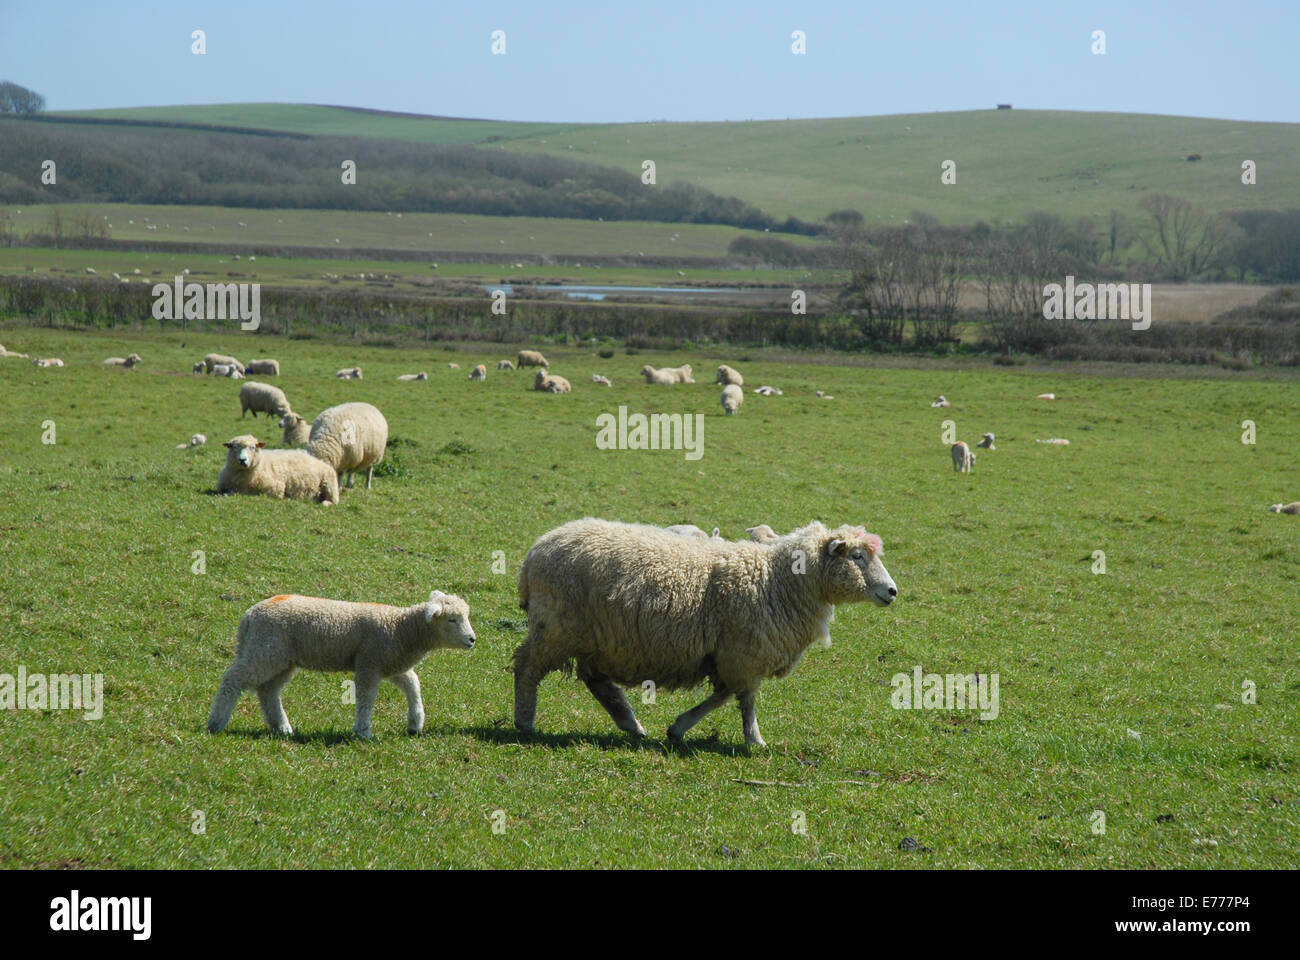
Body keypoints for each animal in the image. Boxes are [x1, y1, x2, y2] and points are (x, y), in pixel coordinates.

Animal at [207, 590, 476, 738]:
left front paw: (415, 724)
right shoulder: (369, 662)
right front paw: (363, 731)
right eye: (452, 620)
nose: (472, 639)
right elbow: (367, 697)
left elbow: (413, 685)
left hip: (281, 658)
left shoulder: (391, 663)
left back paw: (282, 727)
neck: (401, 628)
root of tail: (249, 615)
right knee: (233, 680)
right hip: (265, 651)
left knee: (268, 690)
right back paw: (216, 723)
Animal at [513, 519, 897, 745]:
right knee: (527, 667)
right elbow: (742, 699)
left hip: (592, 637)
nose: (892, 591)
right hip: (556, 629)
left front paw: (679, 727)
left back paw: (630, 724)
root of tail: (535, 551)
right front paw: (754, 740)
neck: (777, 580)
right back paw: (525, 722)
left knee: (596, 681)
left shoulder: (730, 655)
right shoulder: (744, 654)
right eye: (858, 556)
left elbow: (724, 696)